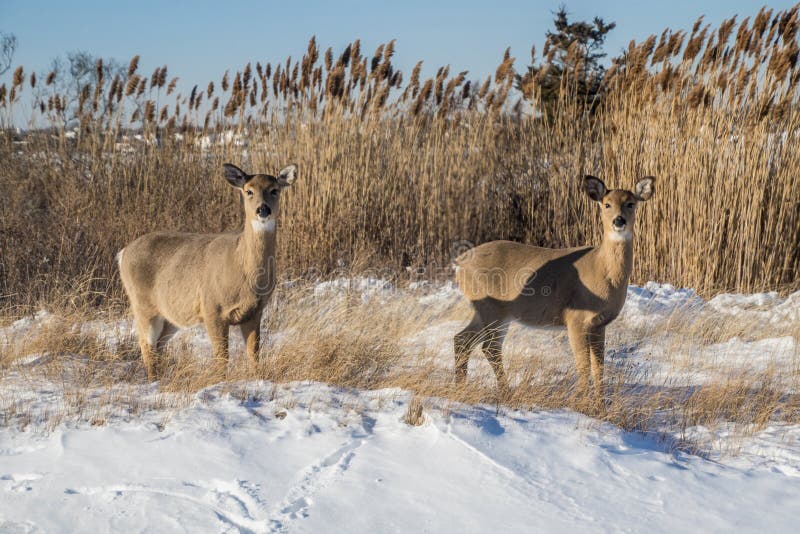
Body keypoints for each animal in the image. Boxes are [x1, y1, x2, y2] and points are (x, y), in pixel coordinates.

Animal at [118, 163, 297, 380]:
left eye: (274, 190)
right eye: (249, 191)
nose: (263, 209)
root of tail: (123, 253)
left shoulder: (255, 312)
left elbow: (254, 354)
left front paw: (258, 378)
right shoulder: (212, 308)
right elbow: (221, 357)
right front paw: (220, 382)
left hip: (170, 314)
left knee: (158, 346)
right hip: (142, 304)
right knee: (147, 345)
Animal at [453, 175, 655, 405]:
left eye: (631, 203)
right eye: (606, 204)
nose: (618, 221)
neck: (603, 272)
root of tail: (459, 262)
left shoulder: (599, 324)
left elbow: (599, 367)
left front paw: (600, 405)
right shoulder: (575, 318)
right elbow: (584, 366)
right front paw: (581, 404)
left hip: (487, 310)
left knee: (462, 339)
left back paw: (462, 388)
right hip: (491, 307)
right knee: (489, 347)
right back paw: (505, 393)